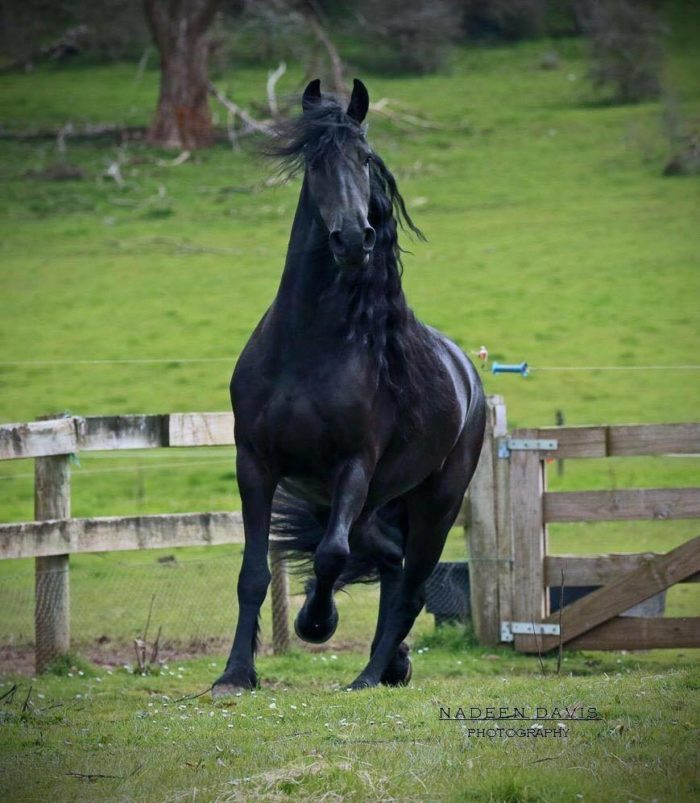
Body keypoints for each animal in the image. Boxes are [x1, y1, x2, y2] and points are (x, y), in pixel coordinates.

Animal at [212, 78, 485, 695]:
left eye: (364, 158)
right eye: (316, 163)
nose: (354, 238)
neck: (308, 345)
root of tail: (468, 371)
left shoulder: (352, 465)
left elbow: (329, 555)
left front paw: (316, 622)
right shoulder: (254, 462)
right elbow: (252, 573)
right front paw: (236, 674)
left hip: (433, 505)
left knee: (409, 585)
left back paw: (369, 674)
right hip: (373, 507)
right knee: (390, 564)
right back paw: (393, 663)